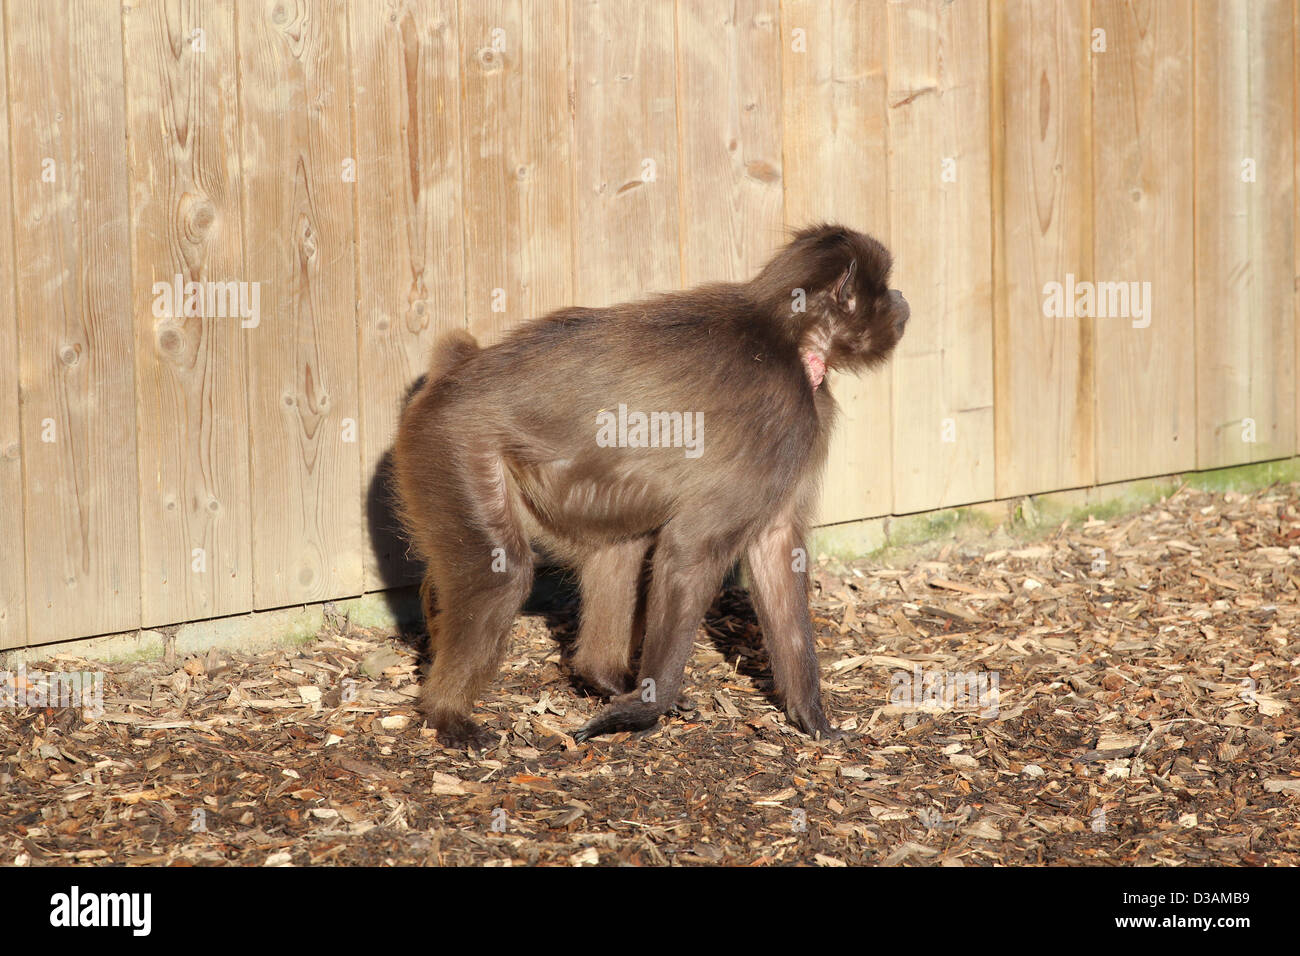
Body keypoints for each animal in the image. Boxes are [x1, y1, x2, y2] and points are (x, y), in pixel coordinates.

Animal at [392, 223, 909, 748]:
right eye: (883, 288)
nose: (902, 300)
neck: (787, 333)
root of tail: (453, 376)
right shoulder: (785, 415)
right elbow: (689, 551)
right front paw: (646, 708)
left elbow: (775, 548)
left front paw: (812, 718)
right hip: (455, 447)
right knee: (503, 572)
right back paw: (446, 714)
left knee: (623, 543)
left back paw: (599, 674)